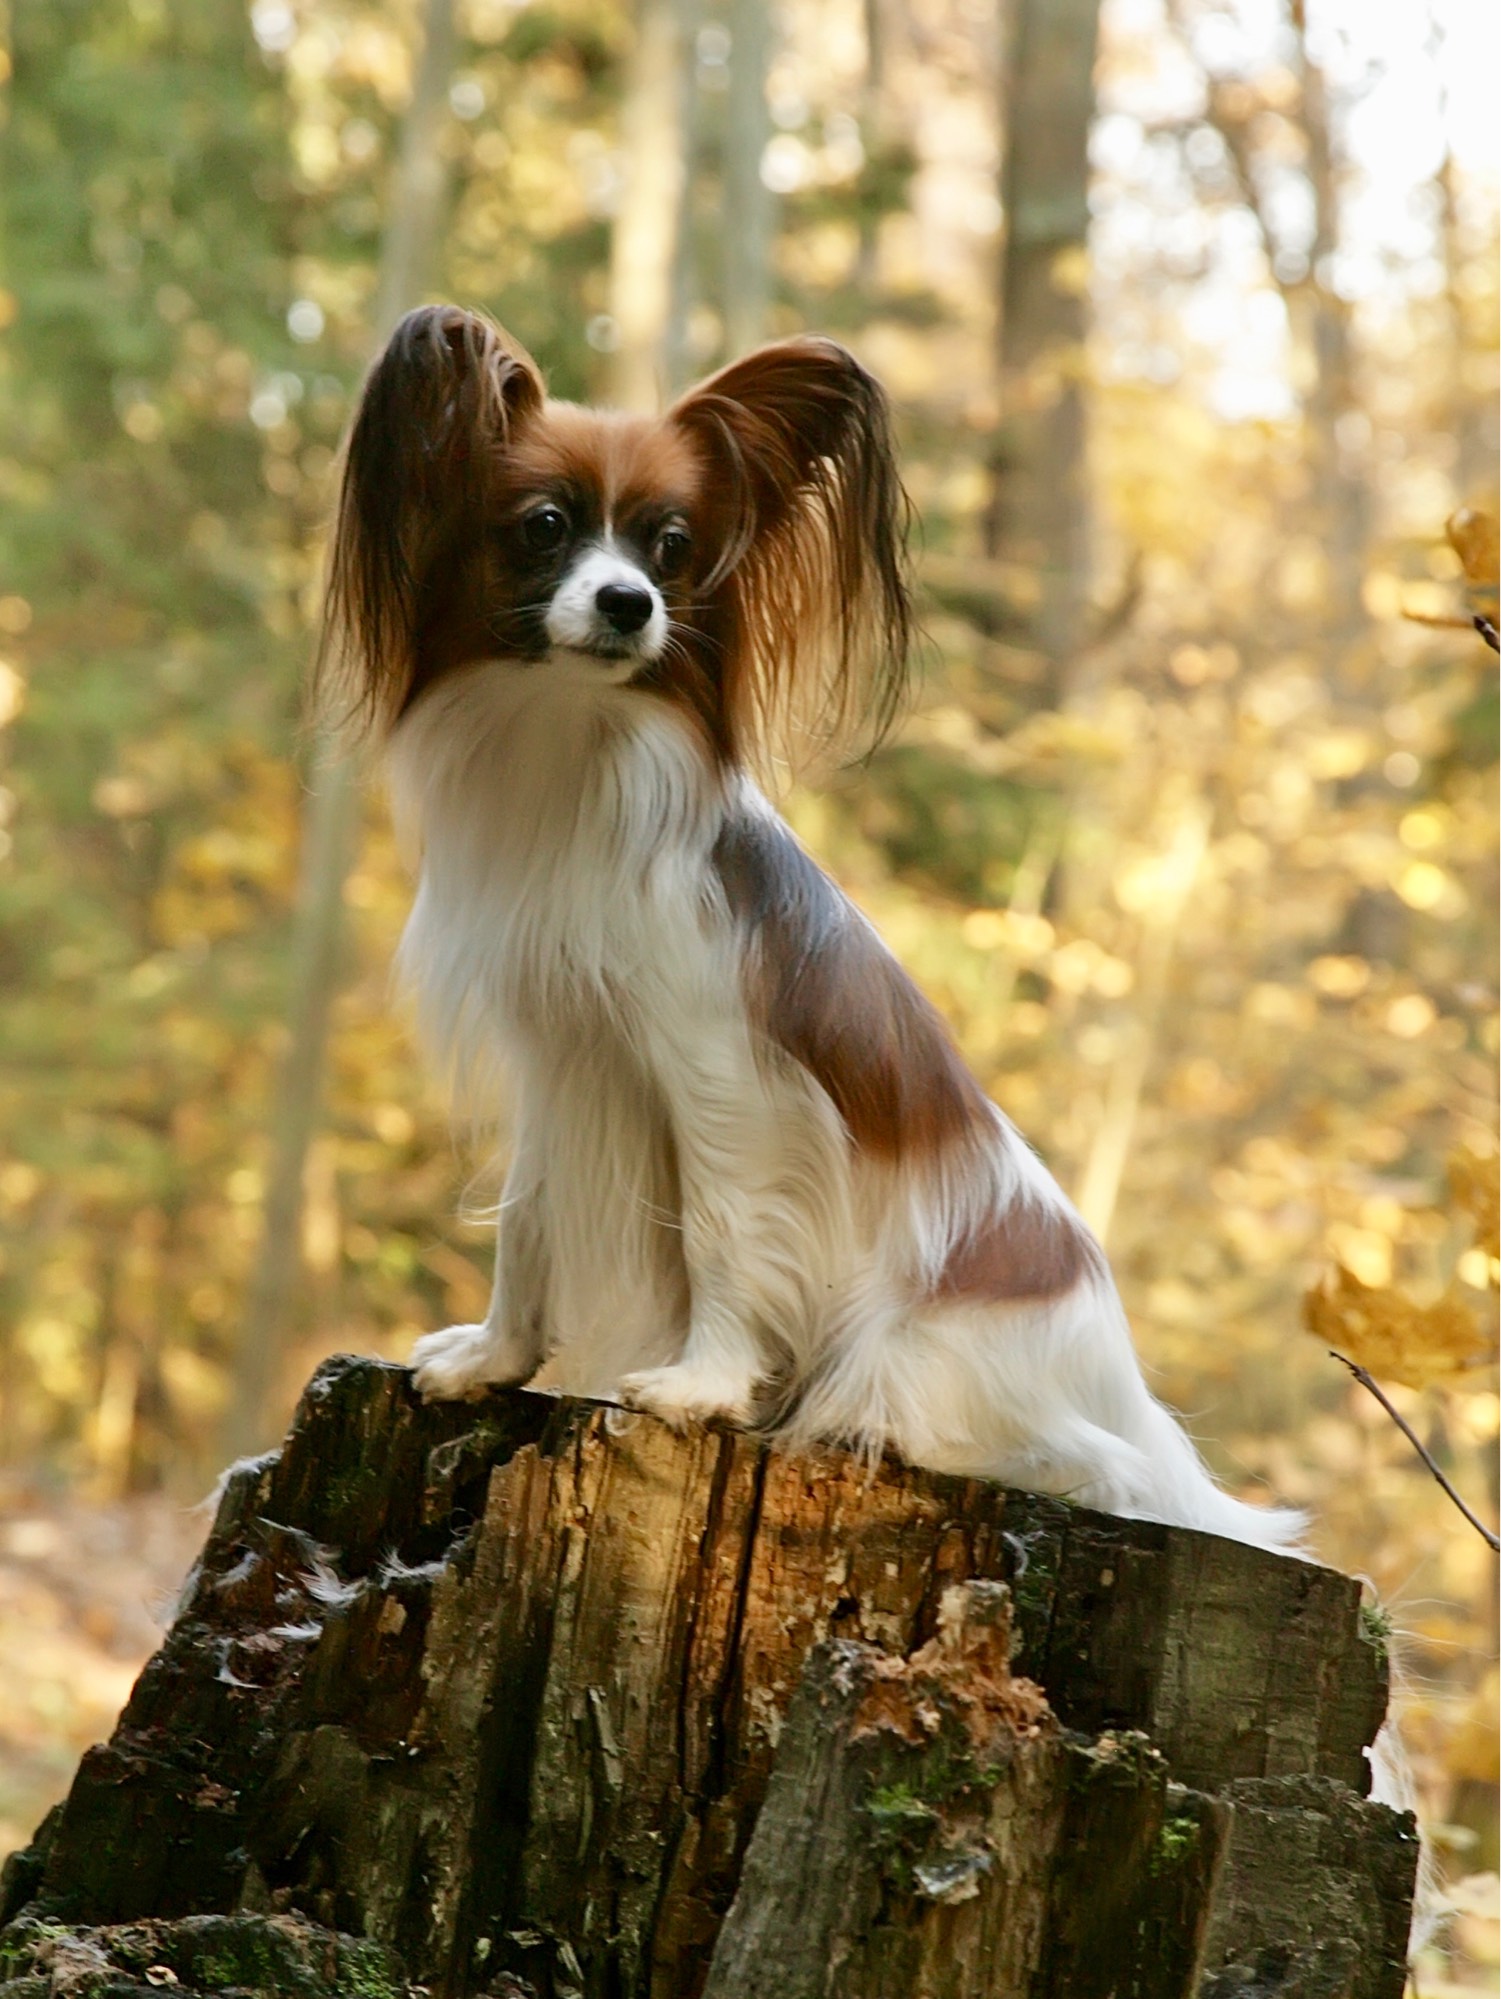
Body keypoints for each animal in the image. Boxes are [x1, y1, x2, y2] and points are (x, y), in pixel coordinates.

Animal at [319, 303, 1303, 1551]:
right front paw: (496, 1358)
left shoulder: (718, 1067)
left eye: (671, 546)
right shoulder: (563, 1048)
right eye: (544, 527)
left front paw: (700, 1386)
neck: (570, 740)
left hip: (927, 1361)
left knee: (1073, 1460)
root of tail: (1127, 1388)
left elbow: (722, 1226)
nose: (630, 604)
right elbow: (527, 1219)